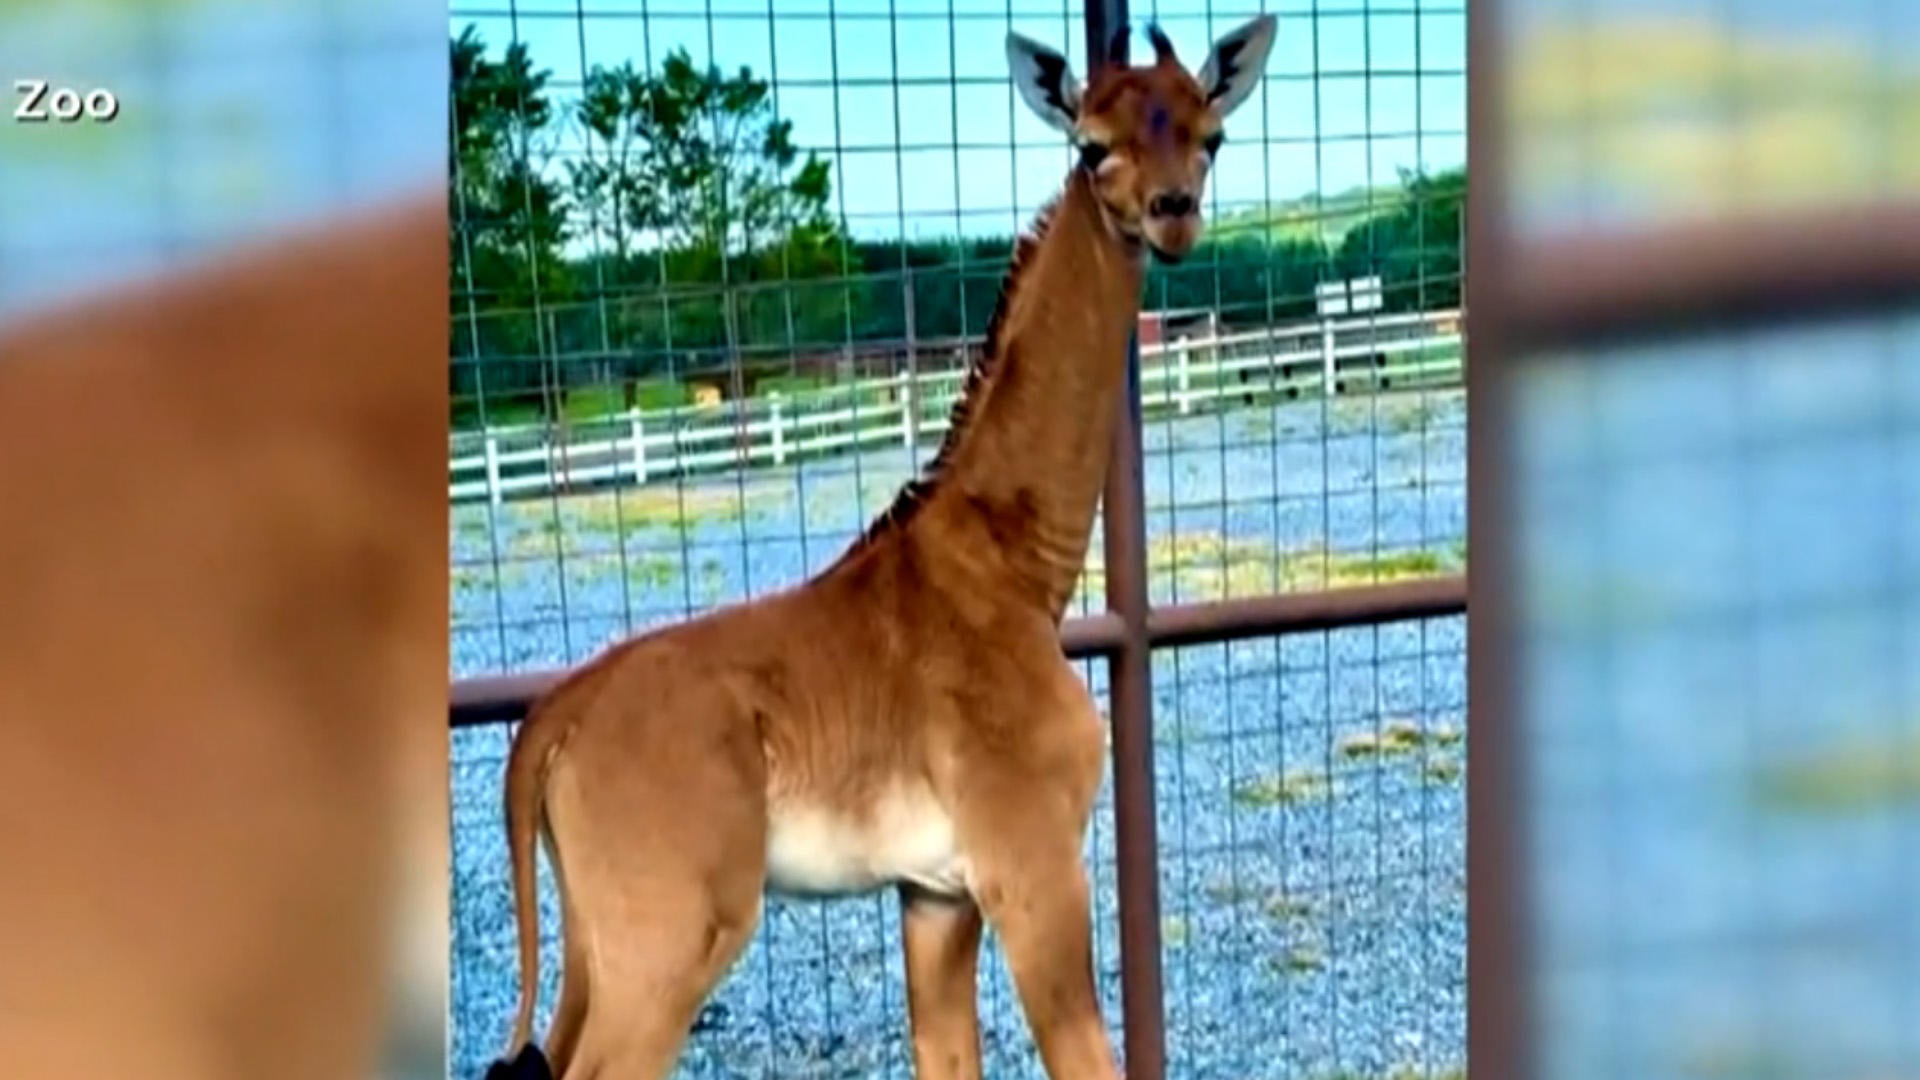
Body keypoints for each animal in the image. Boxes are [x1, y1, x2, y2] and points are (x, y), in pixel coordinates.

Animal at [486, 16, 1277, 1080]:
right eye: (1091, 146)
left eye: (1210, 135)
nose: (1173, 215)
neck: (1013, 570)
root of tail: (547, 727)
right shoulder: (1031, 864)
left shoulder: (934, 894)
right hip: (668, 939)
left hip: (595, 945)